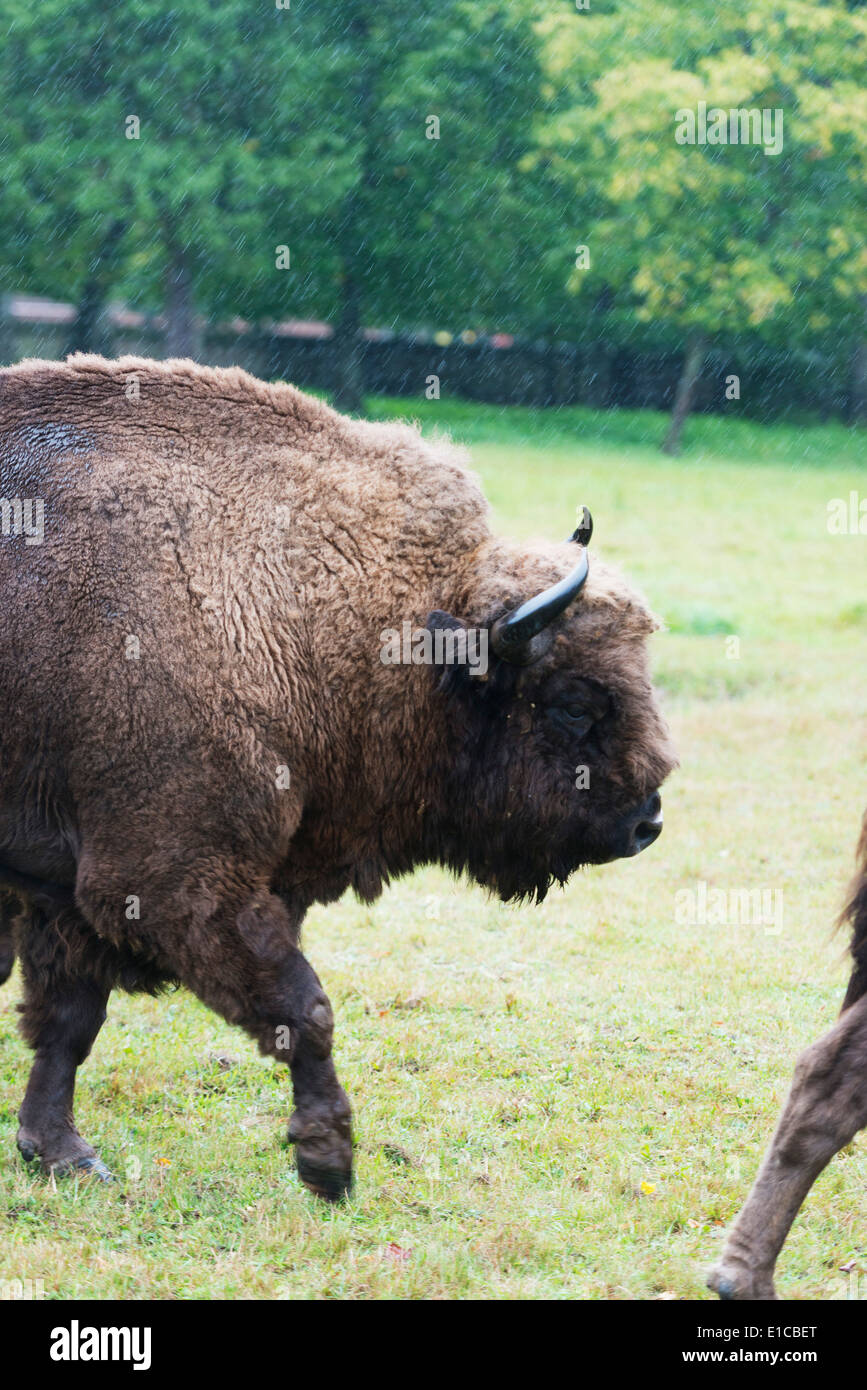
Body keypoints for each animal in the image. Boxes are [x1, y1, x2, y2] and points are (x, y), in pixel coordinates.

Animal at [0, 355, 675, 1199]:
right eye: (574, 703)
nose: (647, 819)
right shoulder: (169, 882)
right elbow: (303, 1009)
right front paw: (328, 1161)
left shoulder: (69, 893)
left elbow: (68, 1021)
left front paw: (60, 1151)